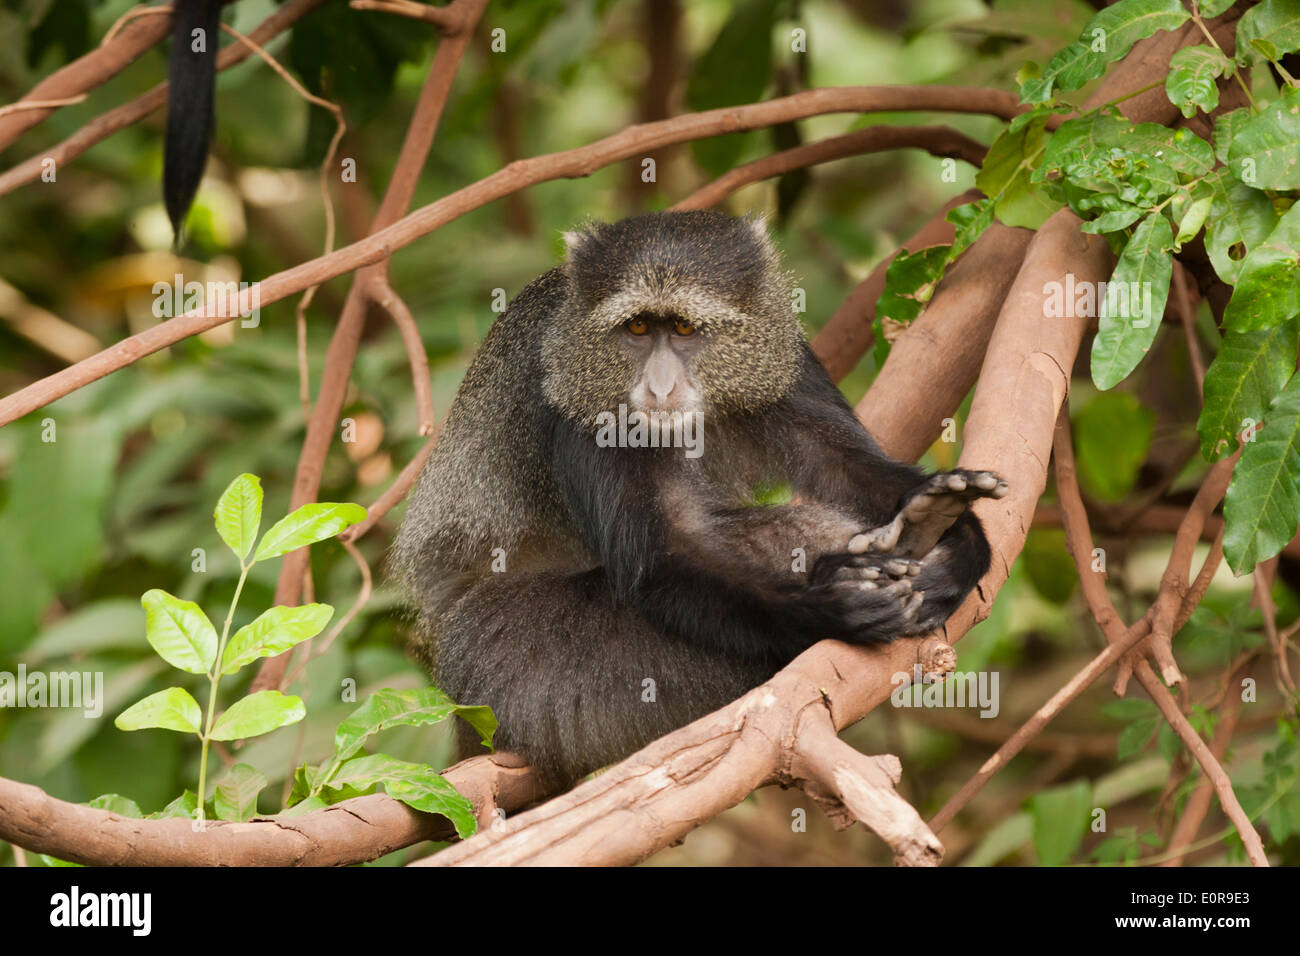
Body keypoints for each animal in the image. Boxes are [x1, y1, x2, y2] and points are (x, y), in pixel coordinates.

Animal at [393, 210, 1006, 789]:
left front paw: (961, 542)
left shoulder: (779, 356)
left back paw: (924, 527)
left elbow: (843, 466)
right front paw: (827, 607)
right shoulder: (574, 401)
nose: (660, 387)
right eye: (639, 327)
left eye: (685, 328)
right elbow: (662, 561)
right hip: (531, 669)